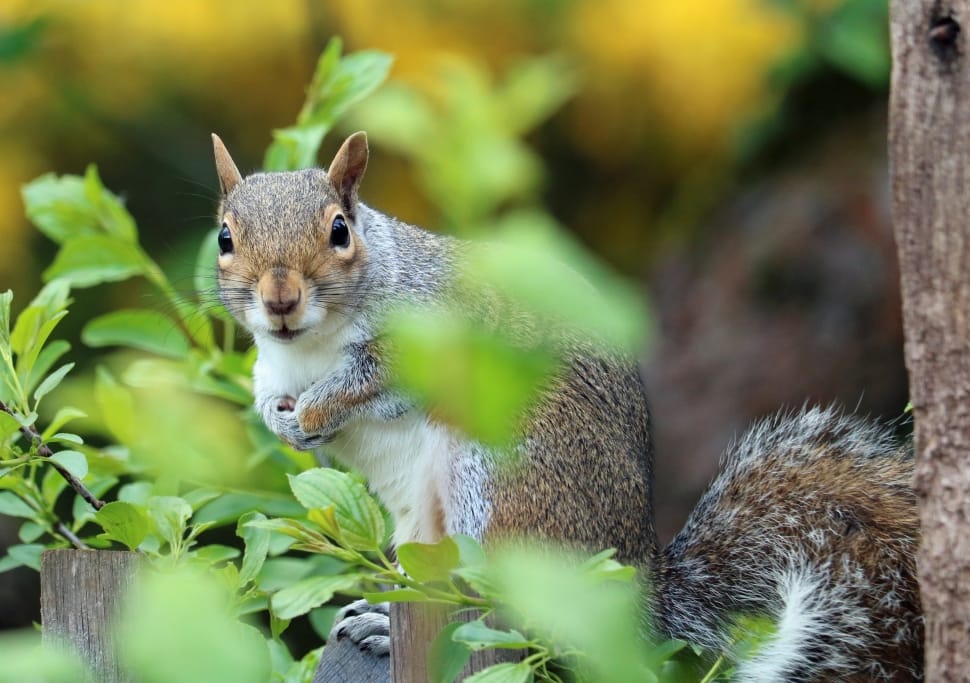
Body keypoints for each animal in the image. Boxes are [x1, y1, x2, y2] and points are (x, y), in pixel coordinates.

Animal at [211, 131, 923, 682]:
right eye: (224, 237)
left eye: (339, 230)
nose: (279, 299)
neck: (307, 349)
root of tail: (638, 595)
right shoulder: (272, 366)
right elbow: (268, 392)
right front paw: (282, 419)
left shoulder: (436, 335)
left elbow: (372, 381)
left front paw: (313, 414)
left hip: (497, 486)